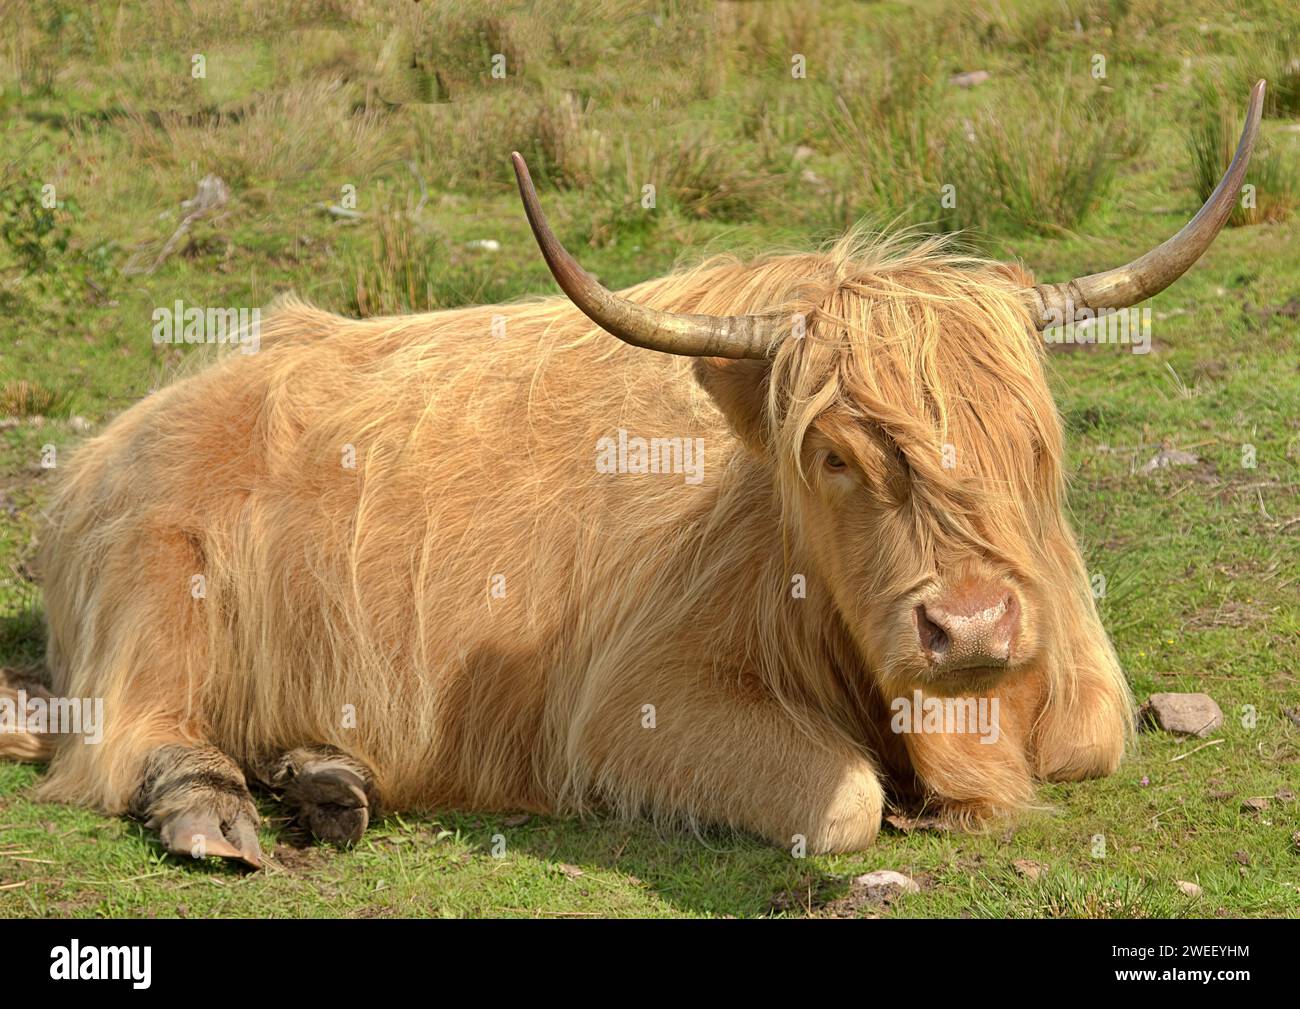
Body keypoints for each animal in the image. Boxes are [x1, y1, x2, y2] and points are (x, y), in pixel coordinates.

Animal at [0, 84, 1264, 867]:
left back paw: (322, 773)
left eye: (1031, 443)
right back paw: (214, 806)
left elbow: (1095, 735)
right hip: (155, 578)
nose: (972, 625)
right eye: (834, 455)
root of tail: (117, 439)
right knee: (129, 733)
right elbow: (848, 801)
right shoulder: (625, 706)